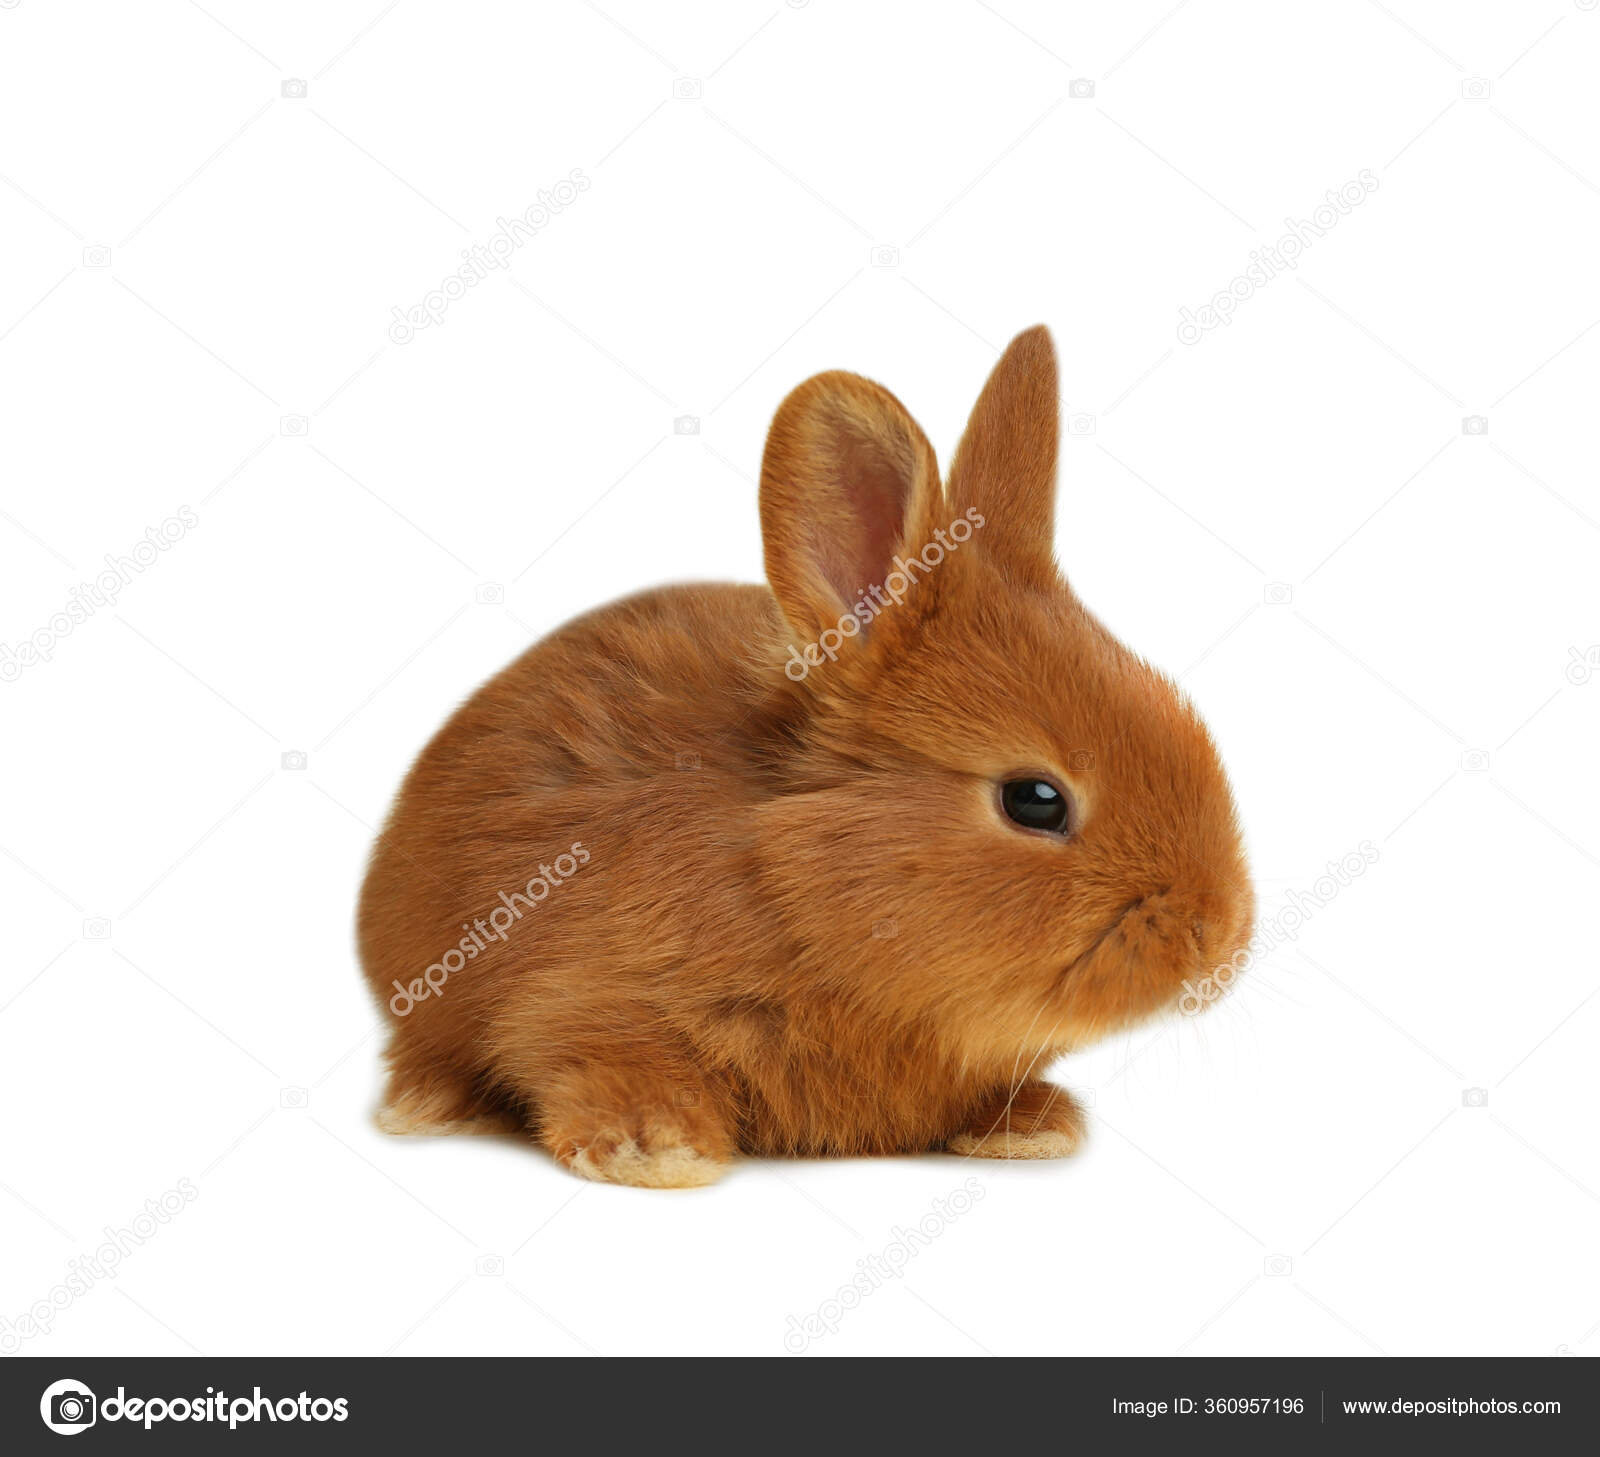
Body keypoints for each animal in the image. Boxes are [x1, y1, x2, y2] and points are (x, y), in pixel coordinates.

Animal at [357, 325, 1255, 1188]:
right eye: (1035, 799)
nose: (1218, 939)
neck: (790, 882)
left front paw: (1034, 1126)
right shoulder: (584, 1006)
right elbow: (600, 1059)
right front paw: (655, 1150)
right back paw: (427, 1106)